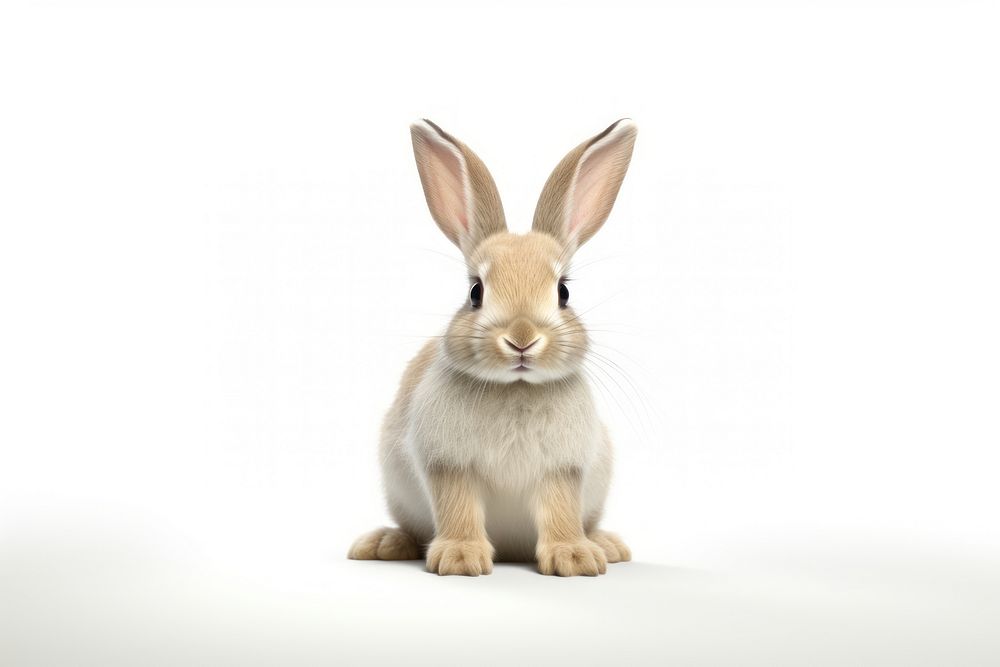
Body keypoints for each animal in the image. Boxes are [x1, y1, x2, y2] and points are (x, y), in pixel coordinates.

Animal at [348, 119, 637, 576]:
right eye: (475, 292)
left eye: (563, 292)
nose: (521, 339)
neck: (515, 388)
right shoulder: (448, 464)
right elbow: (458, 509)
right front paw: (460, 558)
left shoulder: (562, 471)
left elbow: (560, 512)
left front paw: (575, 558)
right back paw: (383, 543)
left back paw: (606, 545)